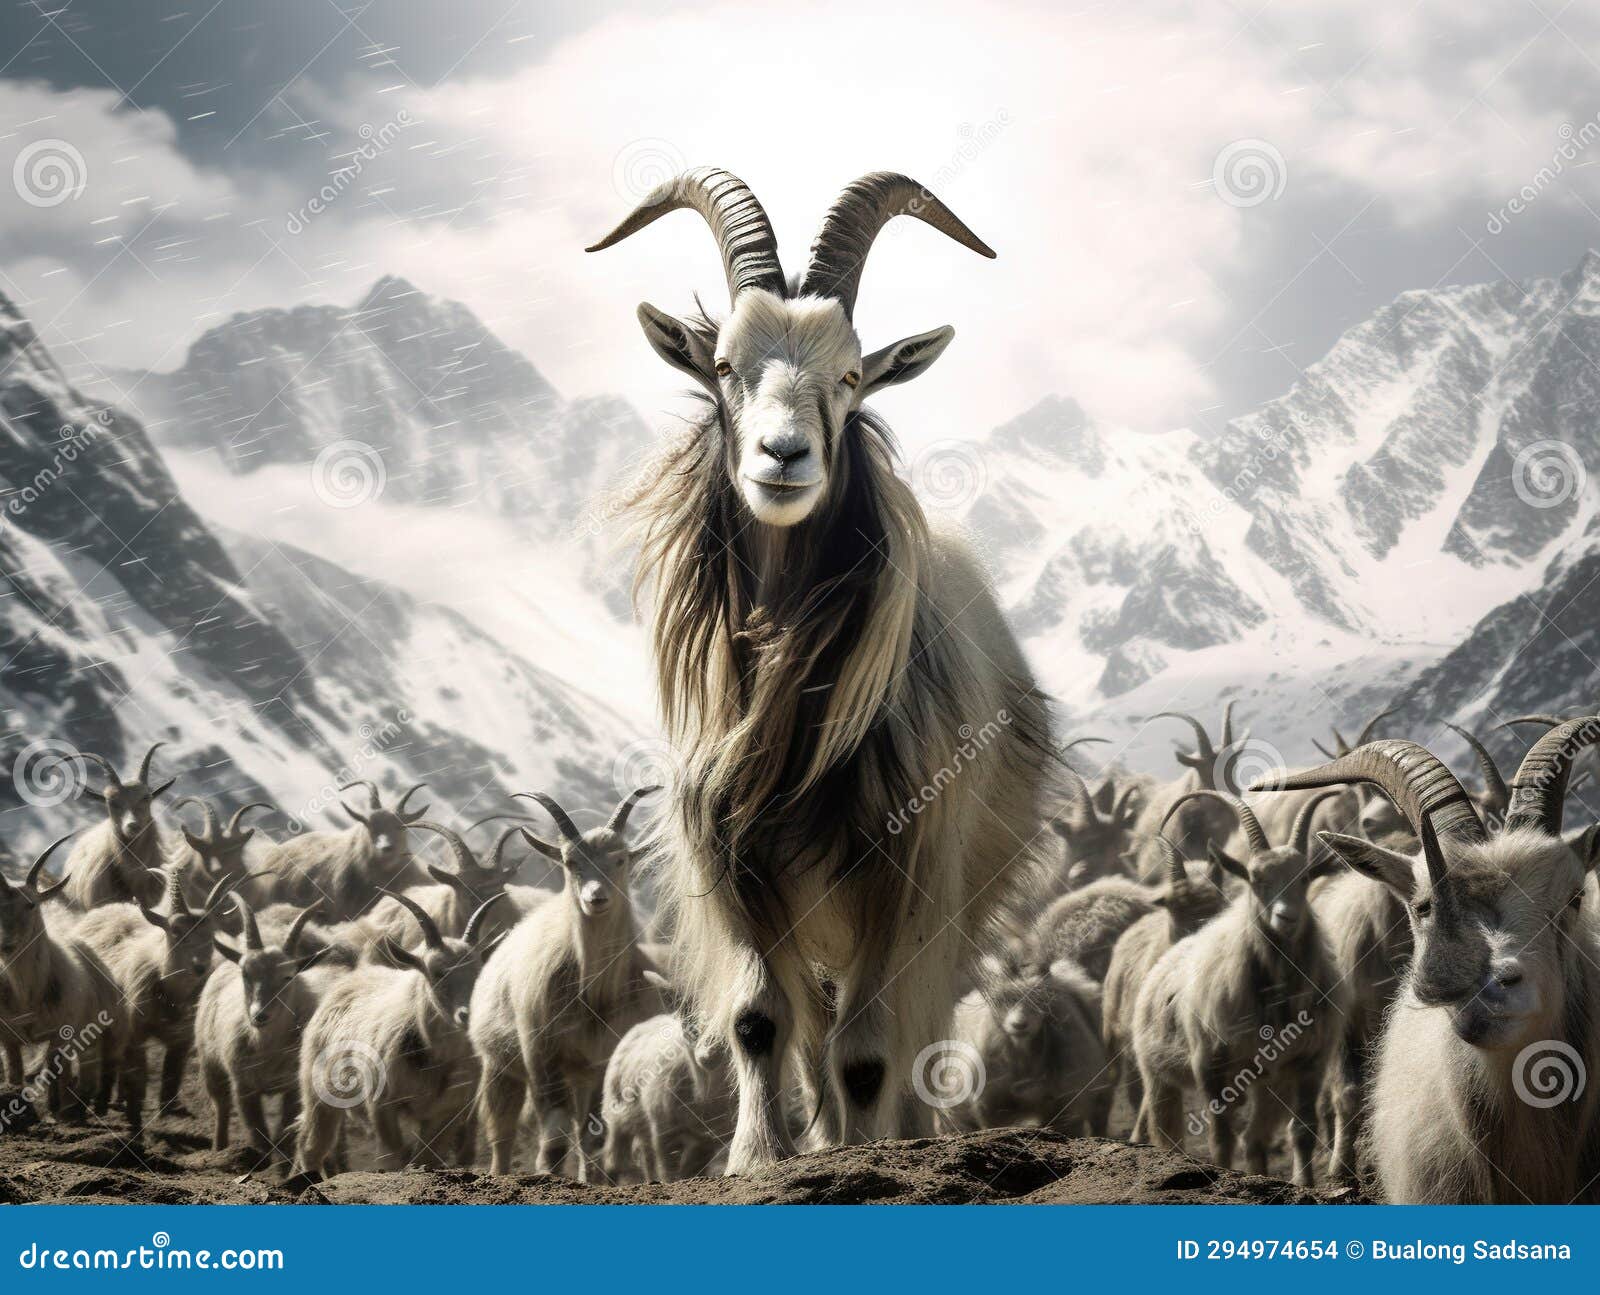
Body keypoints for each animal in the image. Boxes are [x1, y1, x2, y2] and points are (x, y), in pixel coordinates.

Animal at [195, 898, 326, 1161]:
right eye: (245, 973)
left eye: (288, 976)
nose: (260, 1015)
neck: (268, 1046)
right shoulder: (243, 1086)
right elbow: (259, 1137)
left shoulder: (292, 1088)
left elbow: (283, 1138)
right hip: (210, 1063)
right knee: (221, 1107)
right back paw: (218, 1149)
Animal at [294, 890, 502, 1178]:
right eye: (436, 973)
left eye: (478, 972)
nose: (467, 1014)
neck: (434, 1060)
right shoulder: (382, 1105)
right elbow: (395, 1157)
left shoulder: (445, 1112)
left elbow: (425, 1158)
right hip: (318, 1092)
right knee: (311, 1144)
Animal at [471, 787, 660, 1177]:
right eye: (570, 862)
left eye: (621, 860)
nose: (596, 898)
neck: (596, 996)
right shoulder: (541, 1051)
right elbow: (553, 1135)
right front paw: (546, 1174)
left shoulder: (604, 1061)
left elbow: (592, 1135)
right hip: (499, 1063)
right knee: (501, 1128)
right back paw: (498, 1173)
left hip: (580, 1074)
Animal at [593, 167, 1053, 1172]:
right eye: (725, 365)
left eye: (849, 374)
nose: (783, 455)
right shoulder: (736, 861)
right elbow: (763, 1020)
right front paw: (758, 1157)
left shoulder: (906, 868)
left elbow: (873, 1049)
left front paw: (871, 1151)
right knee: (812, 1030)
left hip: (955, 902)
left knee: (907, 1029)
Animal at [1131, 789, 1345, 1186]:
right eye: (1255, 877)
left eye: (1305, 876)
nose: (1287, 917)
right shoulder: (1210, 1065)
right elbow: (1220, 1137)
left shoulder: (1308, 1062)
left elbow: (1303, 1131)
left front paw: (1306, 1185)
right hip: (1157, 1074)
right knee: (1168, 1128)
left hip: (1267, 1082)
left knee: (1255, 1138)